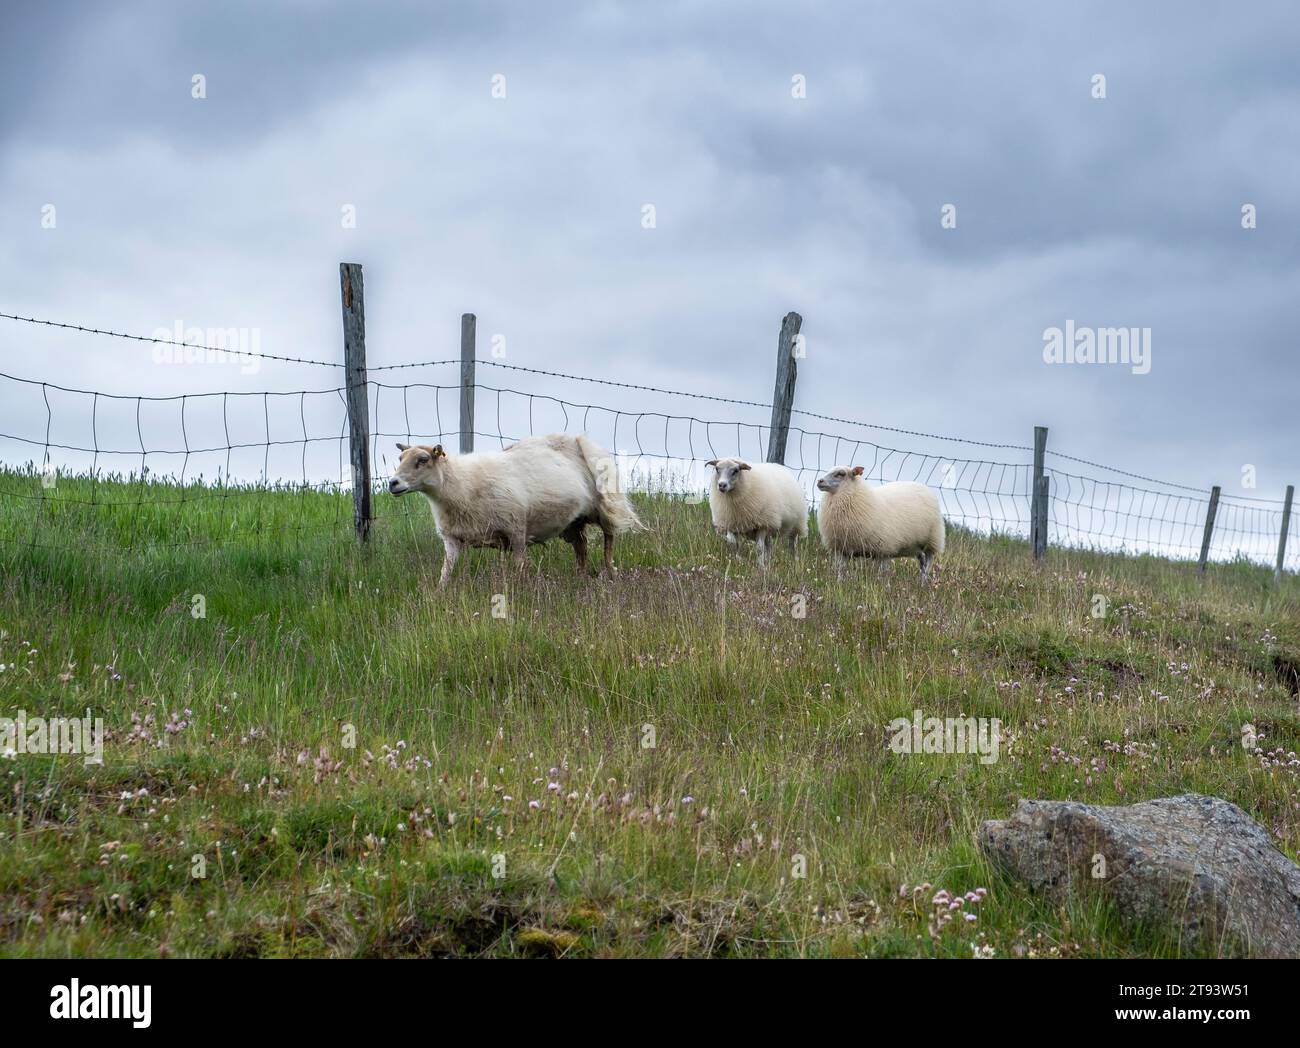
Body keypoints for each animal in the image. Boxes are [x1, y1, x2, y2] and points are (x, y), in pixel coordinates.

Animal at [388, 433, 643, 584]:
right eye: (400, 458)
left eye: (422, 460)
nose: (393, 483)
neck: (459, 484)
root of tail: (577, 440)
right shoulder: (452, 539)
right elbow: (446, 570)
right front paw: (440, 594)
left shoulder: (516, 529)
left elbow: (520, 565)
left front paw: (521, 592)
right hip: (572, 521)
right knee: (581, 547)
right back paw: (579, 576)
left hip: (601, 506)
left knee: (609, 539)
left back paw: (610, 572)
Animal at [816, 466, 945, 580]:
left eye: (841, 474)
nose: (819, 481)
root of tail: (923, 486)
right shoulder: (842, 549)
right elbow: (841, 571)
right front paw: (840, 584)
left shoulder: (885, 549)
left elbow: (883, 573)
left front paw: (884, 587)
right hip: (915, 545)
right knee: (922, 561)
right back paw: (920, 581)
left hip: (932, 539)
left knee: (928, 562)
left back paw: (924, 580)